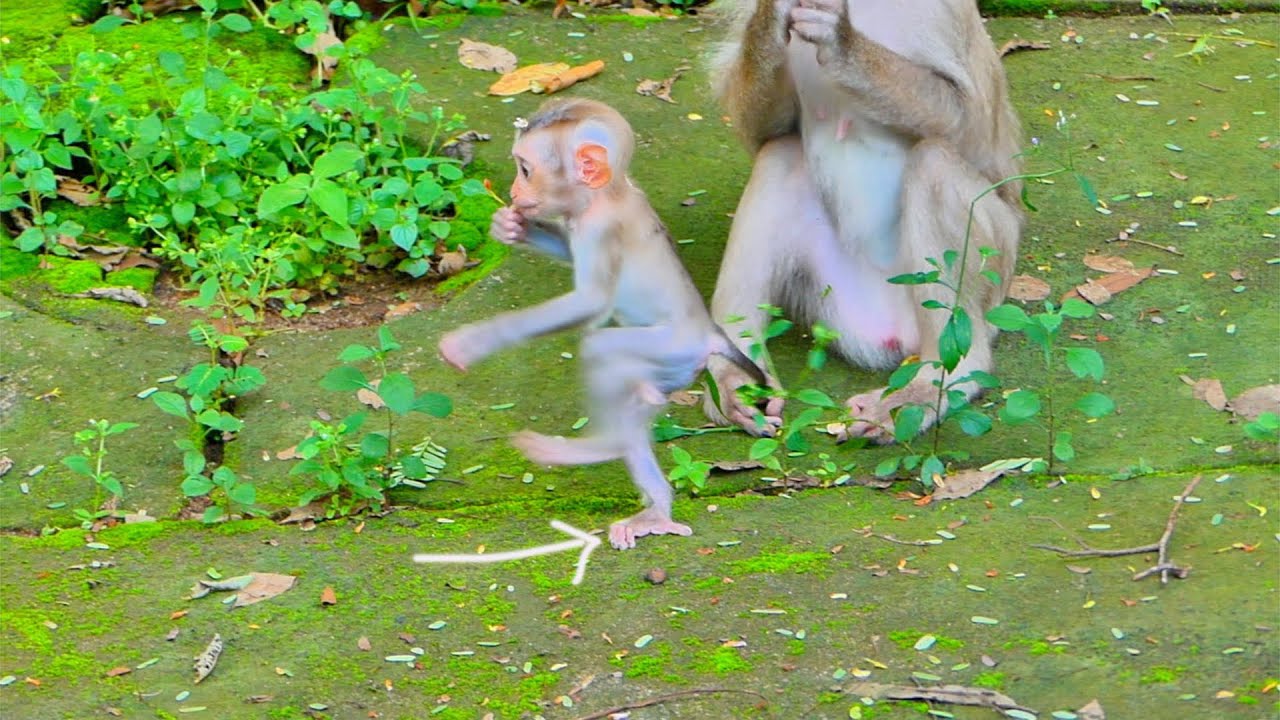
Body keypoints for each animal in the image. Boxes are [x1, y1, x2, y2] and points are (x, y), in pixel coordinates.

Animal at [438, 98, 768, 550]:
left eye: (525, 169)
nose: (514, 193)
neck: (605, 194)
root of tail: (710, 335)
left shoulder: (601, 227)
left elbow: (592, 303)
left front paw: (474, 342)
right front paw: (510, 227)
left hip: (671, 346)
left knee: (602, 348)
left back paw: (598, 447)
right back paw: (656, 505)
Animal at [703, 0, 1025, 442]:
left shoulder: (947, 12)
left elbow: (974, 130)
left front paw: (845, 46)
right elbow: (765, 133)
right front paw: (770, 20)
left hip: (998, 264)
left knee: (934, 162)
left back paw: (932, 384)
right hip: (832, 299)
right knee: (780, 154)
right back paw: (736, 373)